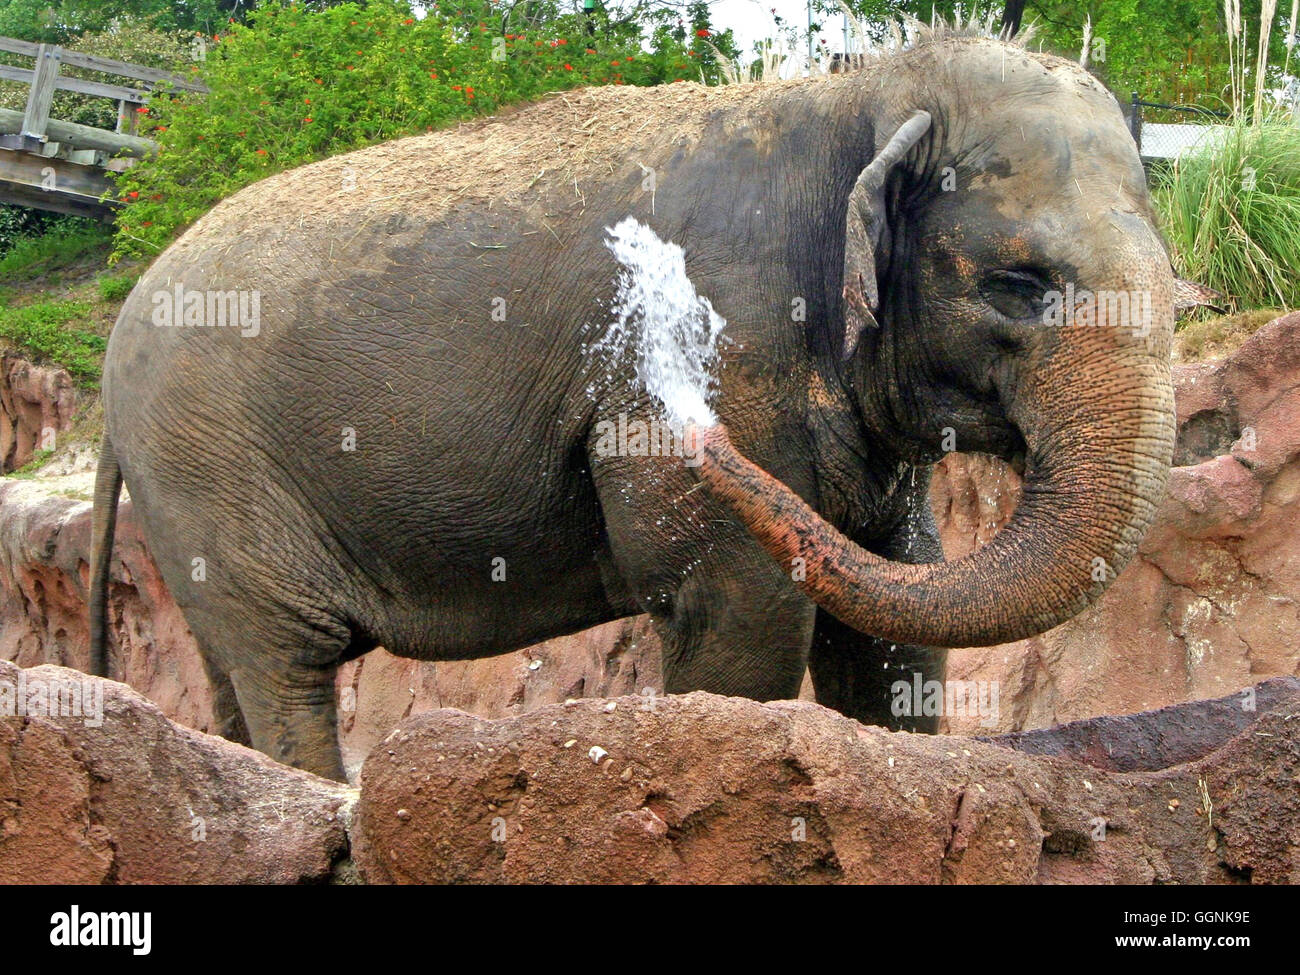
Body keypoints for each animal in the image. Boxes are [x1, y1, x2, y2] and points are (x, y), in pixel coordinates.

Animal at [90, 25, 1175, 780]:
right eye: (1018, 285)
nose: (678, 414)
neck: (854, 94)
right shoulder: (734, 336)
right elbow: (739, 609)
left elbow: (897, 606)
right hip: (209, 468)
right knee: (285, 663)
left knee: (235, 676)